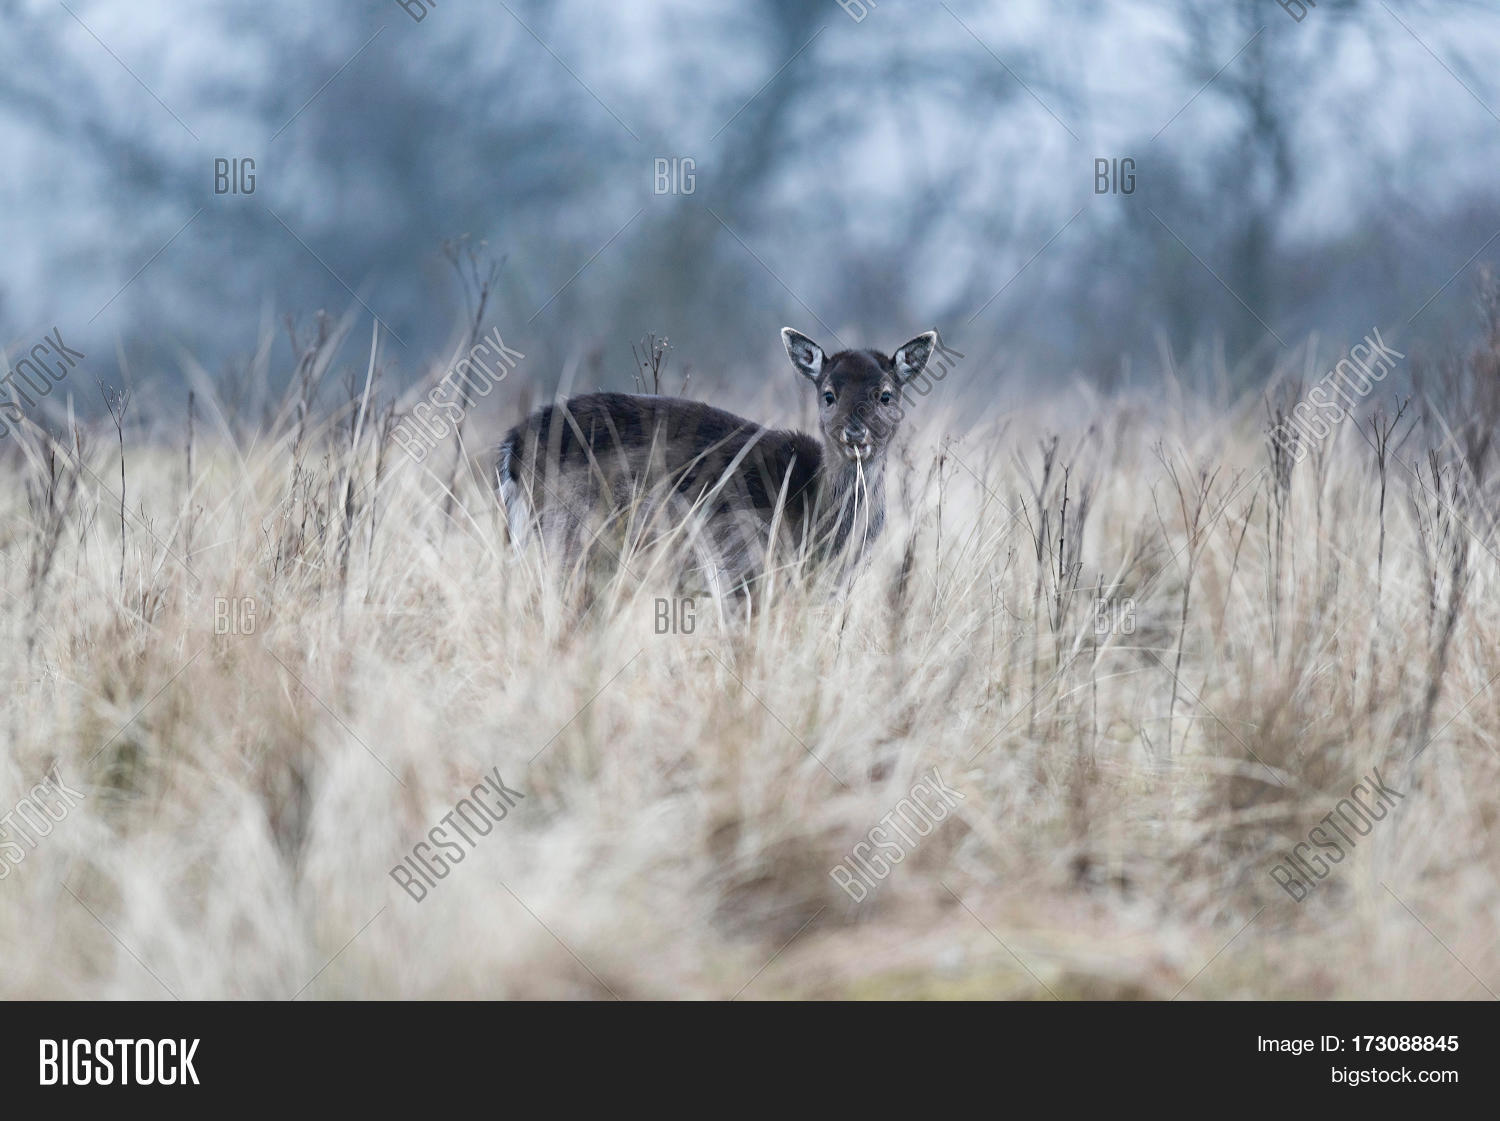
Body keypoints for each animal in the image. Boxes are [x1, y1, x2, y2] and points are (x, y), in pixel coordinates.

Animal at [496, 328, 939, 604]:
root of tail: (511, 447)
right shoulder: (735, 565)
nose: (855, 432)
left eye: (885, 394)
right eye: (829, 394)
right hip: (569, 536)